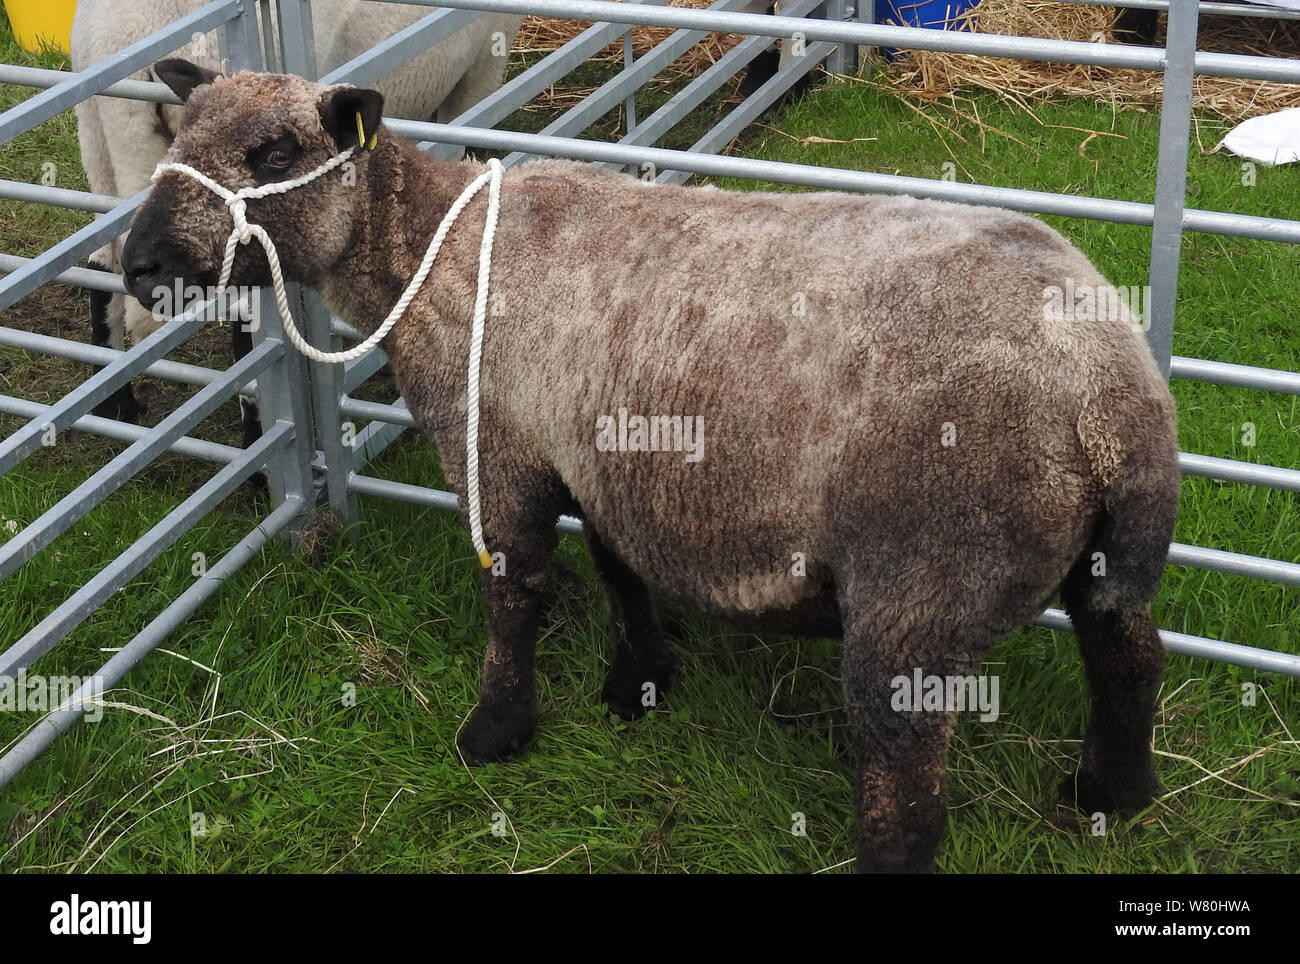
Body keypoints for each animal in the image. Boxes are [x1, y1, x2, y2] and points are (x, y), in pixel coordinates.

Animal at [120, 64, 1181, 872]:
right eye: (179, 129)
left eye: (275, 153)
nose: (138, 266)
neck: (431, 249)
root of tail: (1109, 389)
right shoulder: (601, 454)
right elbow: (617, 568)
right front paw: (638, 681)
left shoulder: (499, 449)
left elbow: (515, 594)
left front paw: (494, 732)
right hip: (1102, 559)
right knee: (1128, 652)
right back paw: (1112, 793)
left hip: (922, 576)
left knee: (909, 785)